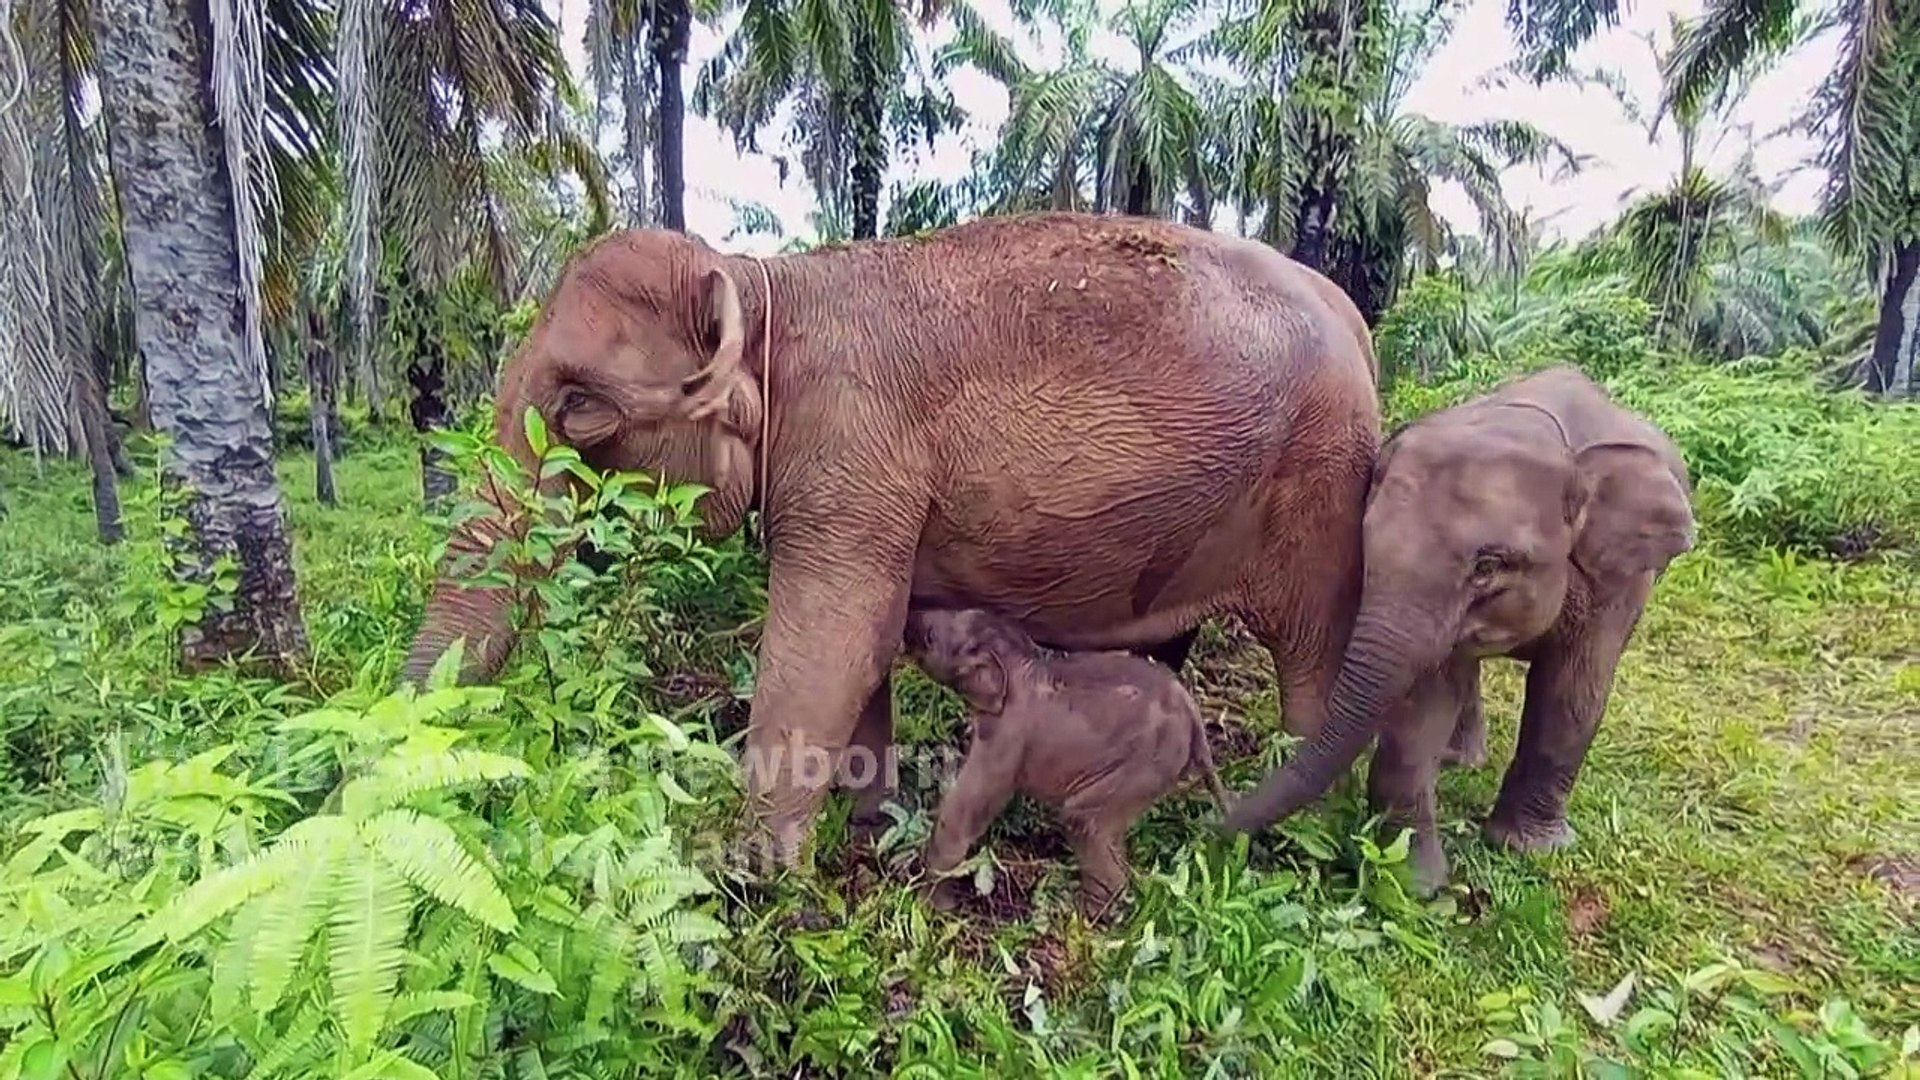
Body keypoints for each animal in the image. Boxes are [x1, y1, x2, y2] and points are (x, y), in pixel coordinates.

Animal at [400, 211, 1382, 870]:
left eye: (579, 406)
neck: (759, 281)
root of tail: (1356, 321)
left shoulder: (851, 447)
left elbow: (829, 646)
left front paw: (755, 883)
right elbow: (864, 647)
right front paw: (867, 834)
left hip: (1321, 493)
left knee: (1312, 668)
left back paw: (1304, 846)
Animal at [903, 606, 1230, 921]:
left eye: (930, 637)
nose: (909, 617)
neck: (1022, 663)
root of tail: (1193, 713)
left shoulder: (1006, 734)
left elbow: (967, 811)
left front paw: (932, 907)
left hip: (1145, 764)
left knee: (1083, 821)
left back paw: (1085, 918)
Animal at [1222, 364, 1696, 895]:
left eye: (1487, 567)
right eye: (1366, 545)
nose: (1212, 823)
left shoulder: (1616, 581)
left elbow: (1573, 691)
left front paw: (1531, 849)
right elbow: (1424, 699)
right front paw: (1415, 887)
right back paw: (1457, 761)